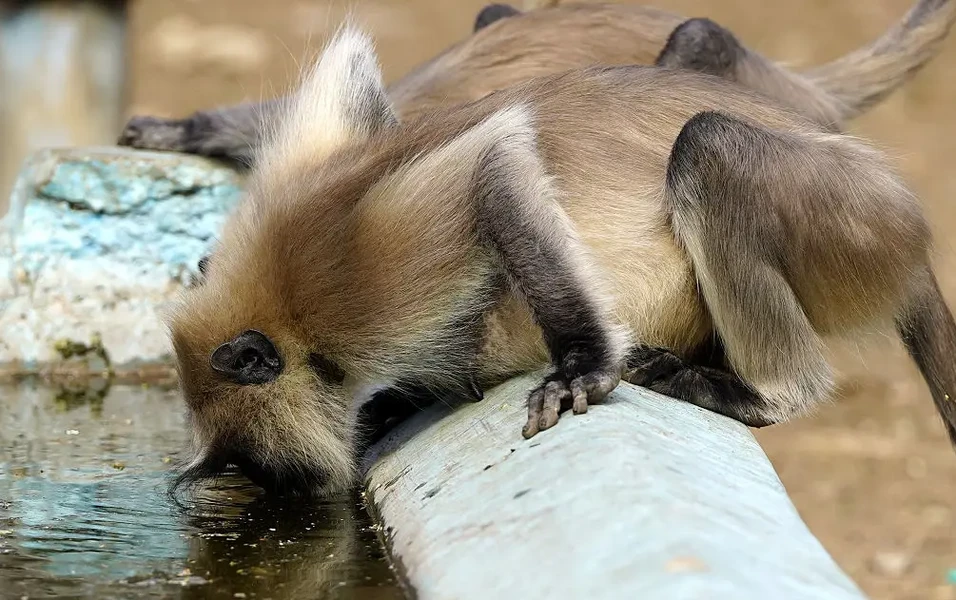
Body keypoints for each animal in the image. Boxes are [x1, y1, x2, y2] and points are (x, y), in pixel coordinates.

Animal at [165, 25, 956, 499]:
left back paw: (765, 393)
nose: (281, 496)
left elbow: (496, 160)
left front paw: (583, 369)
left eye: (266, 470)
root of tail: (907, 233)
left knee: (709, 144)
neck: (282, 298)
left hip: (848, 220)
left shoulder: (365, 283)